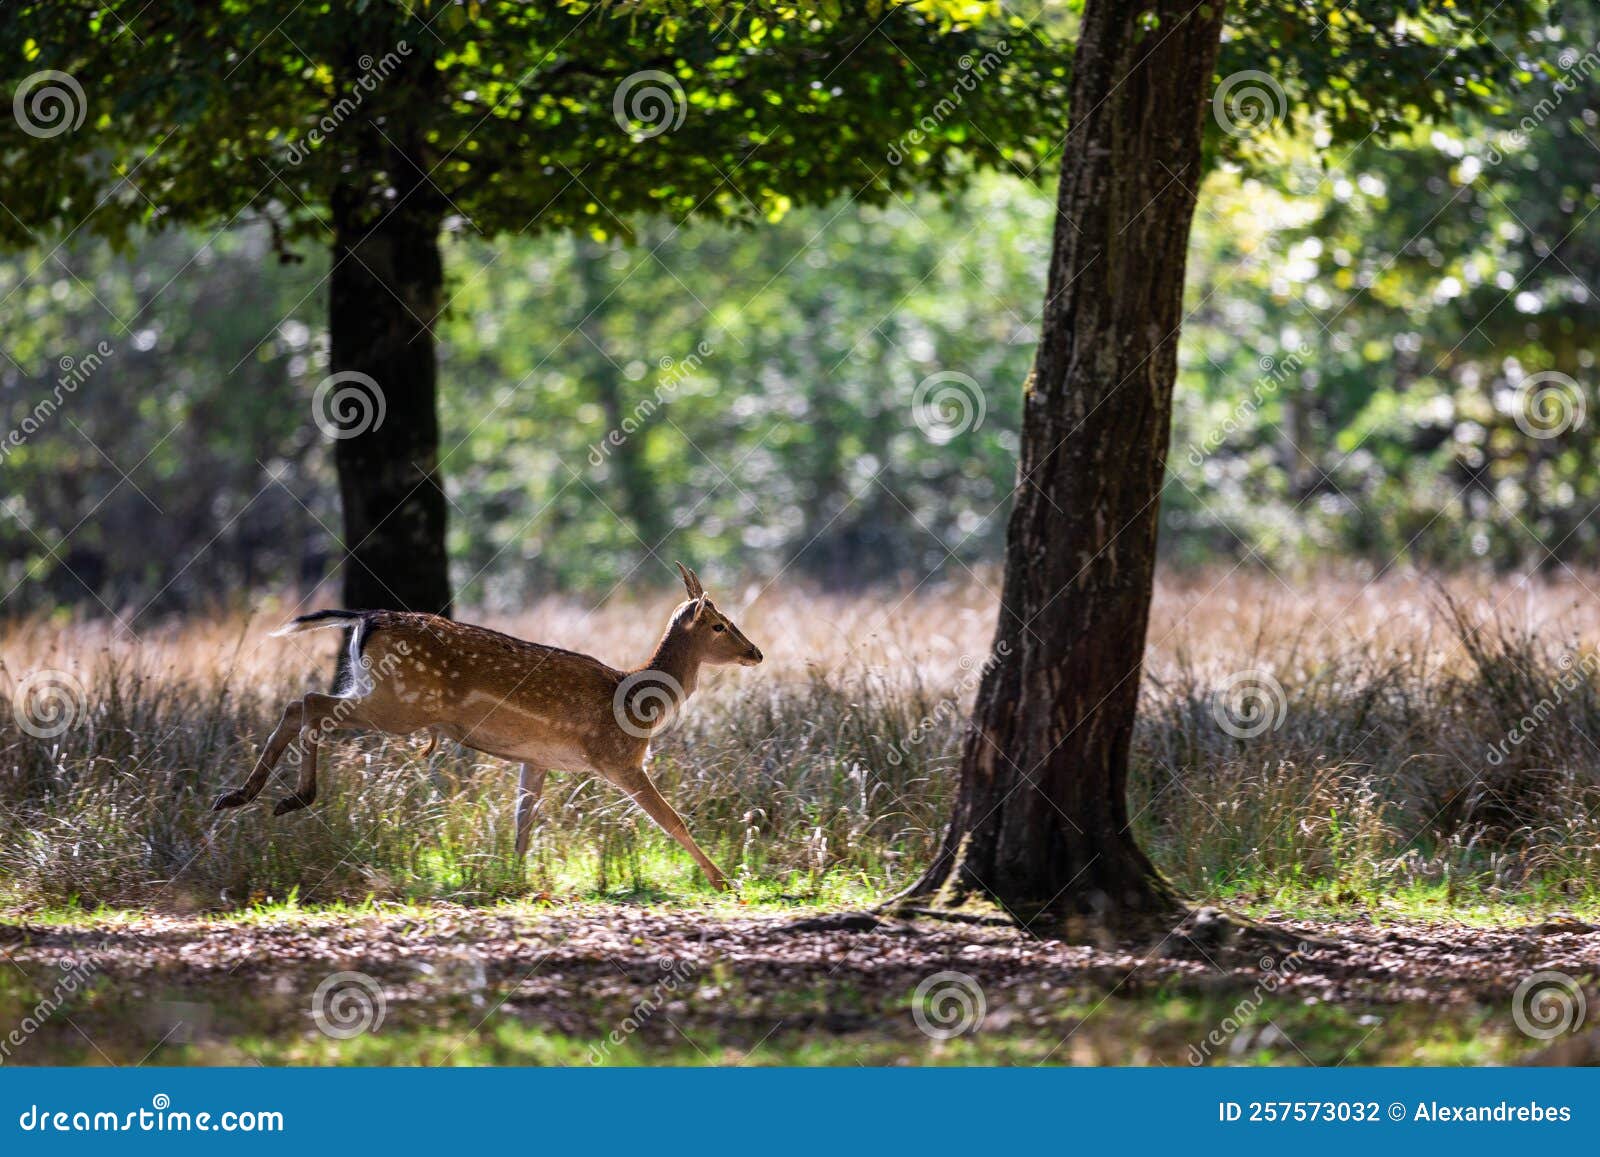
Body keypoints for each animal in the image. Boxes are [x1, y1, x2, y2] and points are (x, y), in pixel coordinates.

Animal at [212, 563, 762, 892]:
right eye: (720, 624)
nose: (755, 652)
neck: (640, 701)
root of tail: (366, 616)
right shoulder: (618, 759)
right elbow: (672, 820)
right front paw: (725, 881)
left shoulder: (537, 759)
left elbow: (523, 823)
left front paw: (514, 881)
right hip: (402, 703)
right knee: (308, 702)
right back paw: (289, 797)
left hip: (378, 692)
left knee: (299, 704)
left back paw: (240, 796)